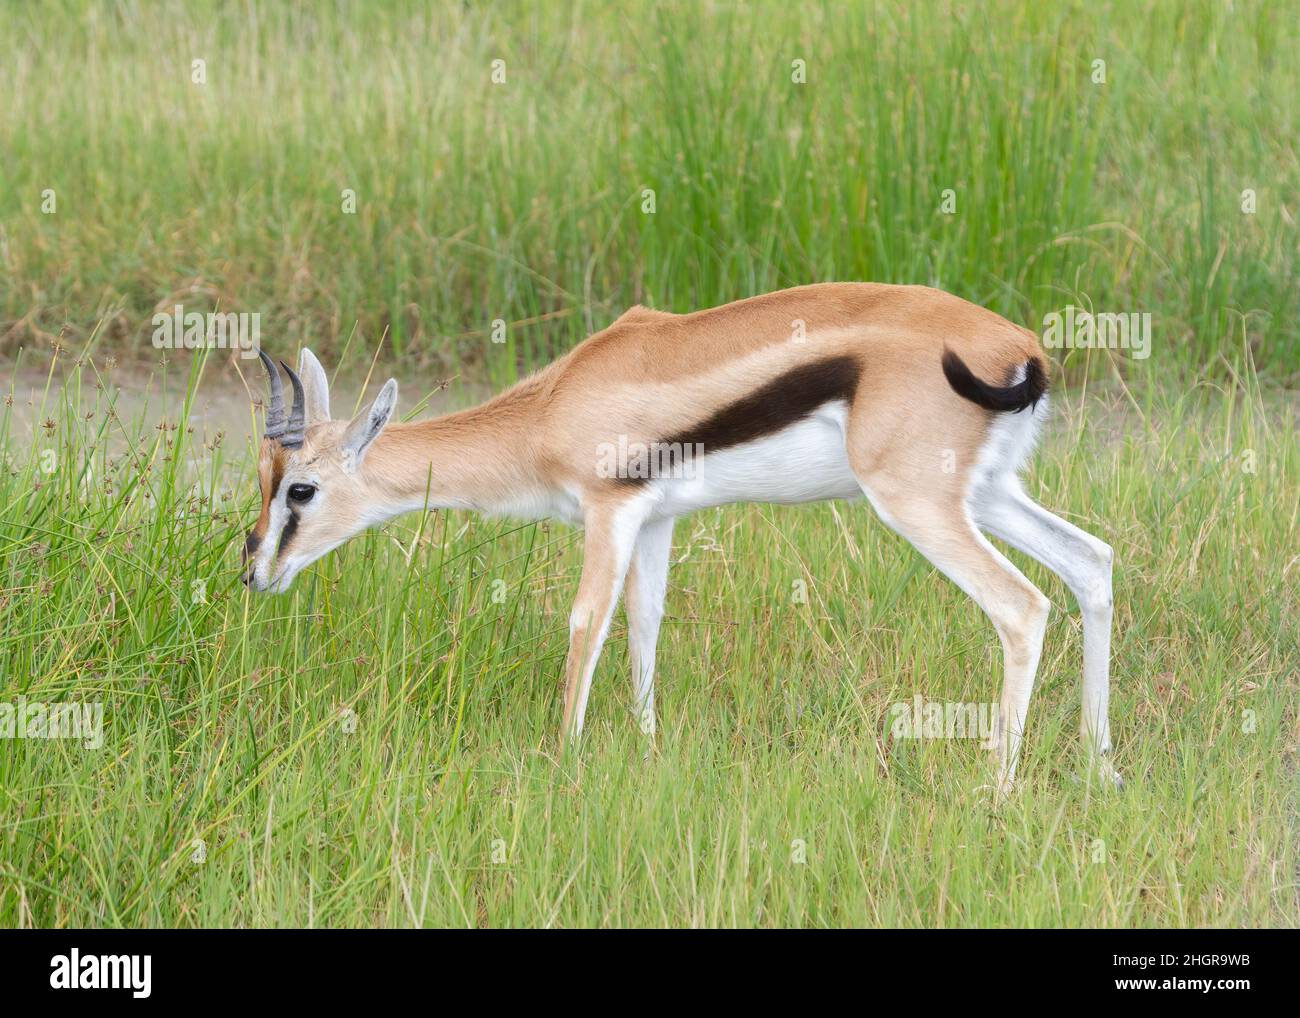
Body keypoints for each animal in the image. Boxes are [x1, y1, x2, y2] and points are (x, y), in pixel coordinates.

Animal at [242, 283, 1119, 794]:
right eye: (262, 478)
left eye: (301, 489)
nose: (254, 572)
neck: (553, 406)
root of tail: (1019, 349)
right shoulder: (655, 518)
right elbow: (644, 624)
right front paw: (648, 749)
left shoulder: (609, 510)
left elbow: (586, 623)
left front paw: (563, 766)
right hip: (990, 494)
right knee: (1092, 564)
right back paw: (1100, 768)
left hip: (916, 502)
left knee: (1021, 606)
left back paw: (996, 788)